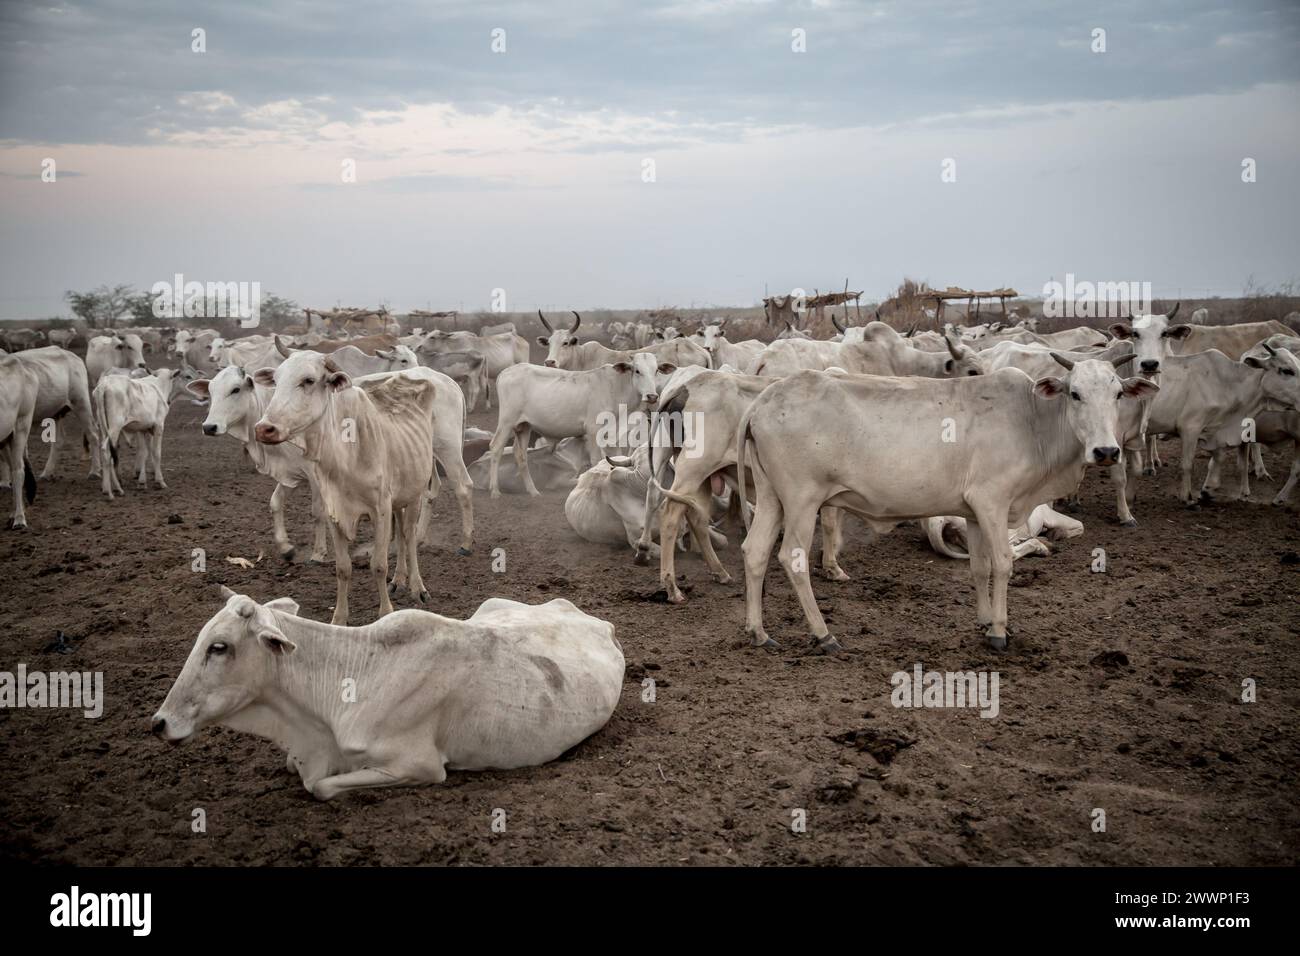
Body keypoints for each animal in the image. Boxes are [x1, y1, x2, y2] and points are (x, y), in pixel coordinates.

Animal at [92, 368, 182, 498]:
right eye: (172, 378)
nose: (169, 401)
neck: (158, 385)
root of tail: (104, 384)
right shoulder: (159, 426)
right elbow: (156, 452)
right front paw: (160, 481)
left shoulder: (142, 429)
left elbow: (144, 452)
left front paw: (142, 482)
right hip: (115, 426)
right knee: (107, 450)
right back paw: (114, 490)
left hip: (104, 426)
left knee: (108, 454)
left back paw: (106, 488)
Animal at [187, 365, 330, 565]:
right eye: (210, 392)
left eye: (235, 389)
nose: (209, 427)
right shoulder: (291, 473)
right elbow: (275, 503)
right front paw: (286, 548)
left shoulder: (315, 474)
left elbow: (318, 511)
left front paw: (318, 553)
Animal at [486, 355, 672, 497]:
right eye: (637, 371)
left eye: (656, 370)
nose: (652, 396)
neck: (616, 388)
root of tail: (505, 372)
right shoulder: (593, 431)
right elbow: (596, 460)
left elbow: (616, 458)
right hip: (506, 422)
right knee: (496, 447)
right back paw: (494, 490)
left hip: (524, 426)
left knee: (520, 455)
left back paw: (533, 491)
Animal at [735, 359, 1158, 651]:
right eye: (1075, 393)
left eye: (1118, 394)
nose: (1107, 451)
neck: (1032, 420)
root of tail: (763, 400)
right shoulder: (993, 502)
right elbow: (1003, 564)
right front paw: (1000, 631)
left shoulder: (973, 512)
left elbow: (979, 567)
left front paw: (985, 622)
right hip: (802, 500)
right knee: (791, 557)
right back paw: (823, 635)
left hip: (771, 497)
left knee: (754, 551)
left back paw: (759, 632)